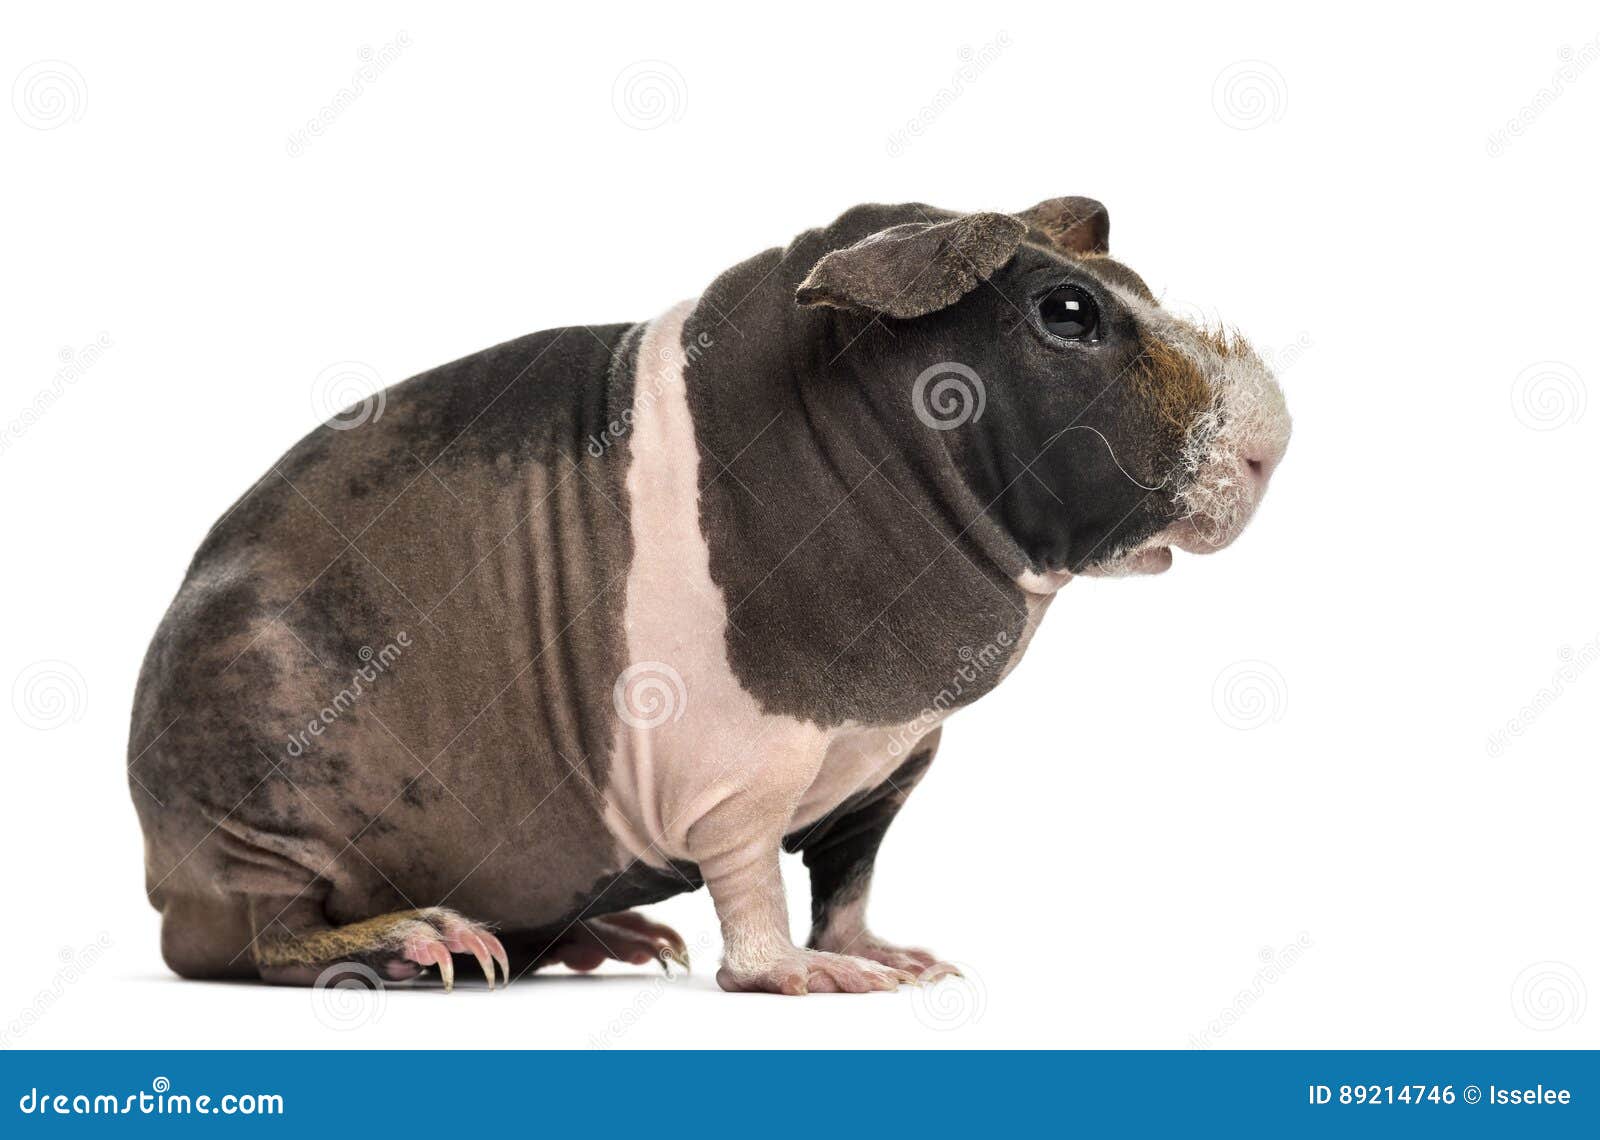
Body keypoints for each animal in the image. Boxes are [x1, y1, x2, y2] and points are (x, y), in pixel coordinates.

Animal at [128, 197, 1290, 994]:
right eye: (1068, 311)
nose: (1271, 444)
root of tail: (164, 887)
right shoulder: (737, 778)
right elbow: (756, 894)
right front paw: (817, 981)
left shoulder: (890, 766)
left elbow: (849, 879)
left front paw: (906, 964)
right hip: (258, 820)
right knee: (271, 940)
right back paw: (439, 943)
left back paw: (616, 942)